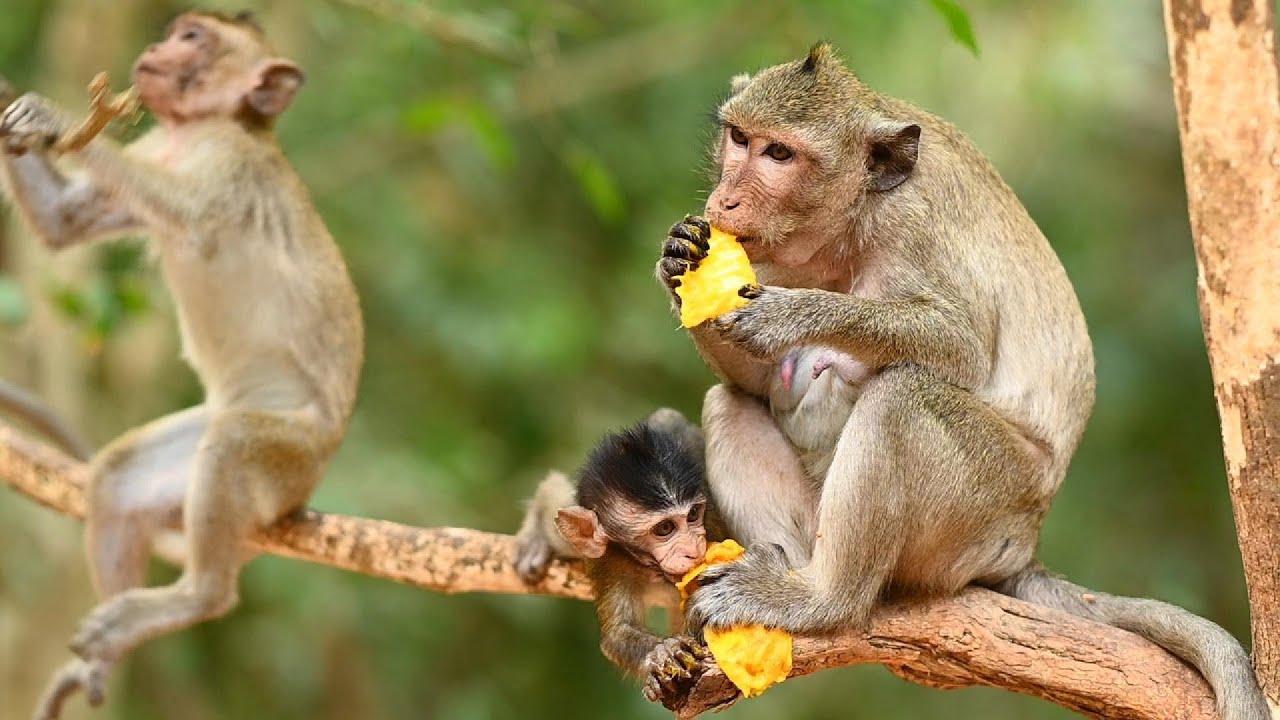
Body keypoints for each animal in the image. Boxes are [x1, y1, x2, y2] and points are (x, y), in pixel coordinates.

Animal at [0, 11, 363, 719]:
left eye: (193, 37)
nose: (156, 46)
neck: (193, 130)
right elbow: (61, 225)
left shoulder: (227, 163)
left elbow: (189, 216)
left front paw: (52, 118)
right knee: (119, 478)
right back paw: (104, 652)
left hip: (289, 458)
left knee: (233, 445)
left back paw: (199, 596)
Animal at [515, 408, 719, 703]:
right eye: (664, 529)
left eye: (693, 515)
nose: (693, 550)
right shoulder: (608, 559)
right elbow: (617, 634)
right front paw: (663, 653)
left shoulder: (712, 520)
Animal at [655, 44, 1268, 719]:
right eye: (739, 138)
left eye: (780, 154)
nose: (725, 200)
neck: (859, 212)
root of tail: (1022, 543)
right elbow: (759, 382)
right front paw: (680, 259)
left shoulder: (914, 222)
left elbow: (961, 347)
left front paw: (788, 315)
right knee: (729, 402)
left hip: (981, 508)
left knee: (901, 399)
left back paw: (820, 601)